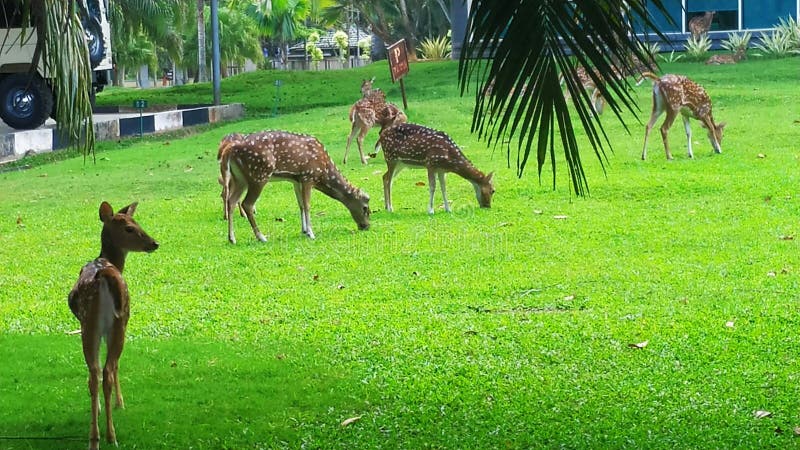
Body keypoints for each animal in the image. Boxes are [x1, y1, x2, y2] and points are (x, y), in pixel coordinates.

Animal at [68, 201, 159, 450]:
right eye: (129, 228)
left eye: (138, 222)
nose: (154, 243)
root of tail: (105, 273)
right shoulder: (120, 323)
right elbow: (115, 366)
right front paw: (120, 403)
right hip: (118, 322)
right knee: (108, 370)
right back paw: (110, 435)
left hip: (89, 325)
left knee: (94, 373)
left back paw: (95, 437)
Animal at [219, 131, 371, 243]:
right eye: (365, 208)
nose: (366, 226)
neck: (323, 172)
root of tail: (229, 150)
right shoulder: (308, 176)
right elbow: (308, 205)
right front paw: (311, 233)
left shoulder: (296, 180)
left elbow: (301, 204)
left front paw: (304, 230)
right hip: (258, 175)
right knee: (247, 204)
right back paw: (261, 237)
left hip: (239, 178)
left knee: (231, 201)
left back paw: (232, 238)